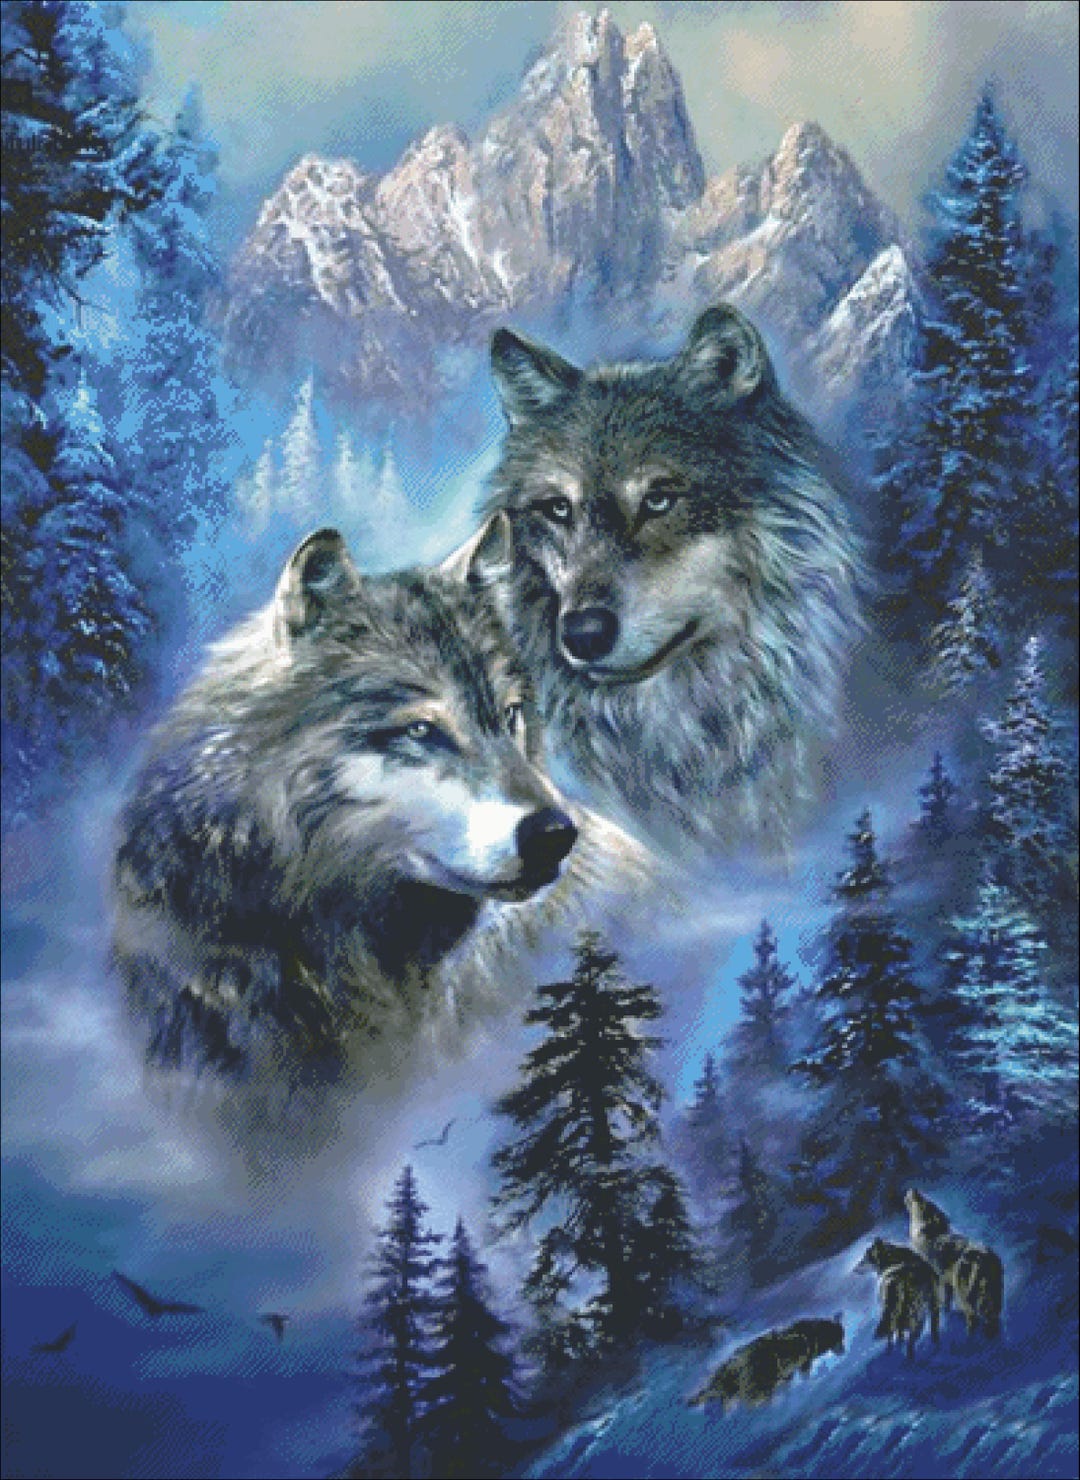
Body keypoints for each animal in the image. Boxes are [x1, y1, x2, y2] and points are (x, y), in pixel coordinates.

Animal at [905, 1189, 1005, 1338]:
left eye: (925, 1203)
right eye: (930, 1203)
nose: (914, 1190)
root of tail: (980, 1258)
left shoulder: (938, 1279)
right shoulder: (946, 1281)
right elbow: (947, 1298)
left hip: (965, 1296)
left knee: (973, 1317)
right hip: (991, 1293)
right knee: (991, 1315)